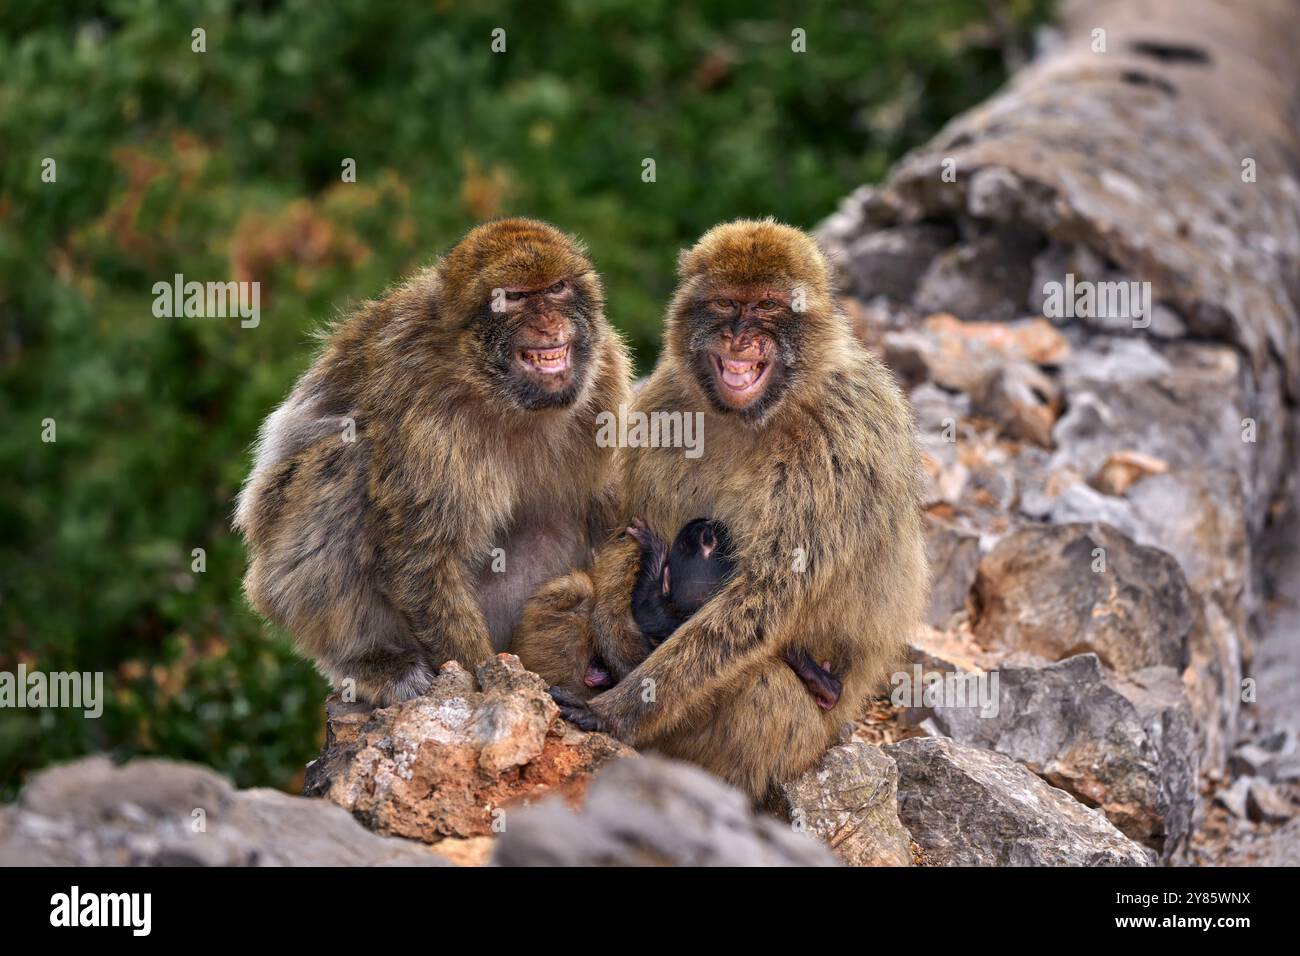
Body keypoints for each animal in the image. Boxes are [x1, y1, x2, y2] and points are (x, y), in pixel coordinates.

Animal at [233, 218, 632, 706]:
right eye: (516, 297)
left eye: (556, 288)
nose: (548, 320)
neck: (496, 391)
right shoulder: (423, 409)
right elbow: (422, 558)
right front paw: (483, 681)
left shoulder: (607, 378)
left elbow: (611, 516)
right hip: (280, 585)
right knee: (348, 459)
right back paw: (369, 662)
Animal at [525, 218, 929, 804]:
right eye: (724, 304)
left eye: (765, 306)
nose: (740, 338)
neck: (757, 415)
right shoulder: (666, 402)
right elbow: (630, 520)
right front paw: (619, 629)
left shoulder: (844, 437)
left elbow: (765, 595)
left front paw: (619, 710)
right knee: (565, 594)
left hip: (806, 738)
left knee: (758, 685)